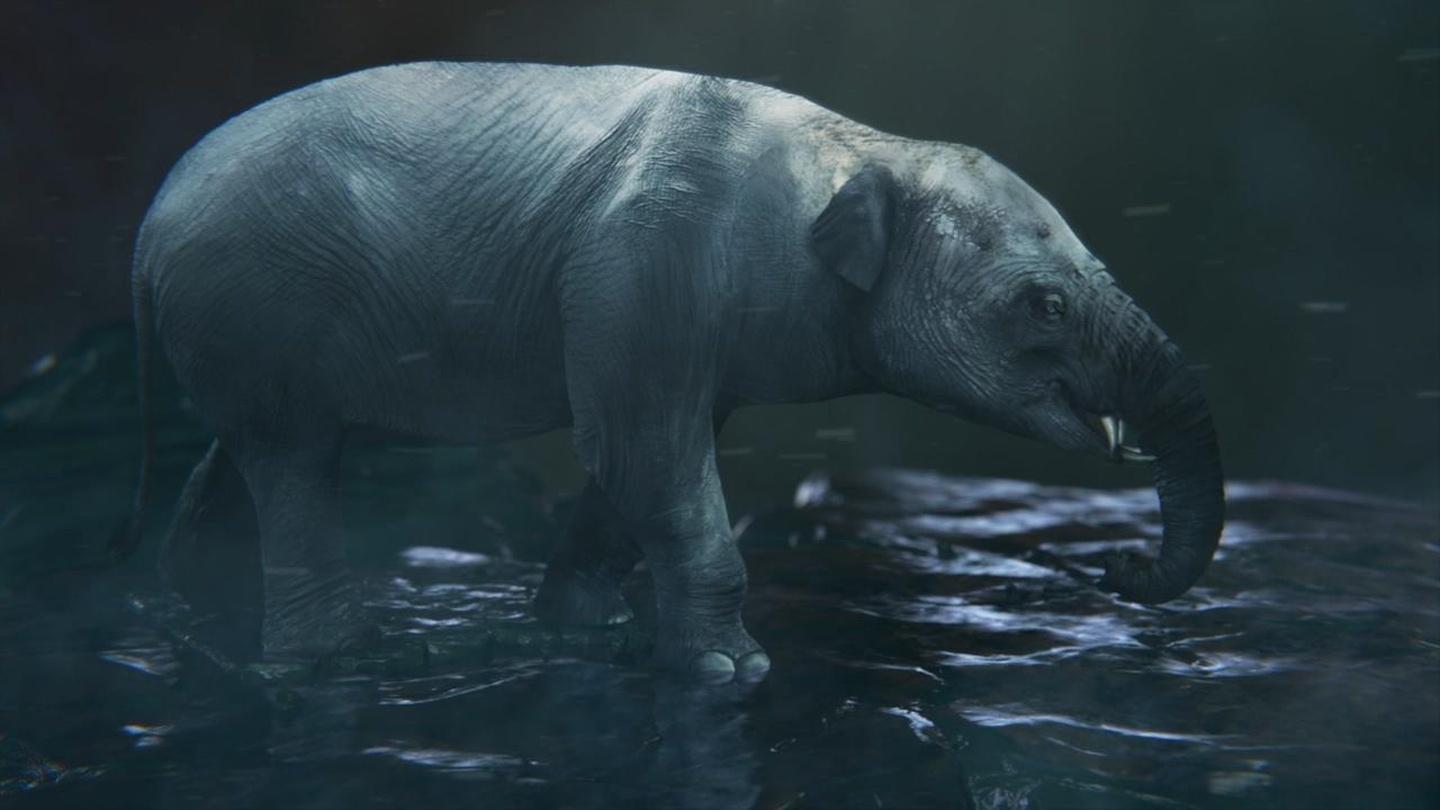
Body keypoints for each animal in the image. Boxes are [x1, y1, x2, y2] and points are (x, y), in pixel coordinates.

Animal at [120, 62, 1224, 683]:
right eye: (1046, 306)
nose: (1117, 569)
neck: (860, 149)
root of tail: (146, 226)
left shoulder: (681, 311)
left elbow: (633, 467)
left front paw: (587, 632)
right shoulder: (643, 266)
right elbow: (643, 454)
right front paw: (733, 672)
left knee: (243, 459)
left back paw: (200, 610)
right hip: (255, 304)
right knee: (295, 465)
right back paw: (349, 661)